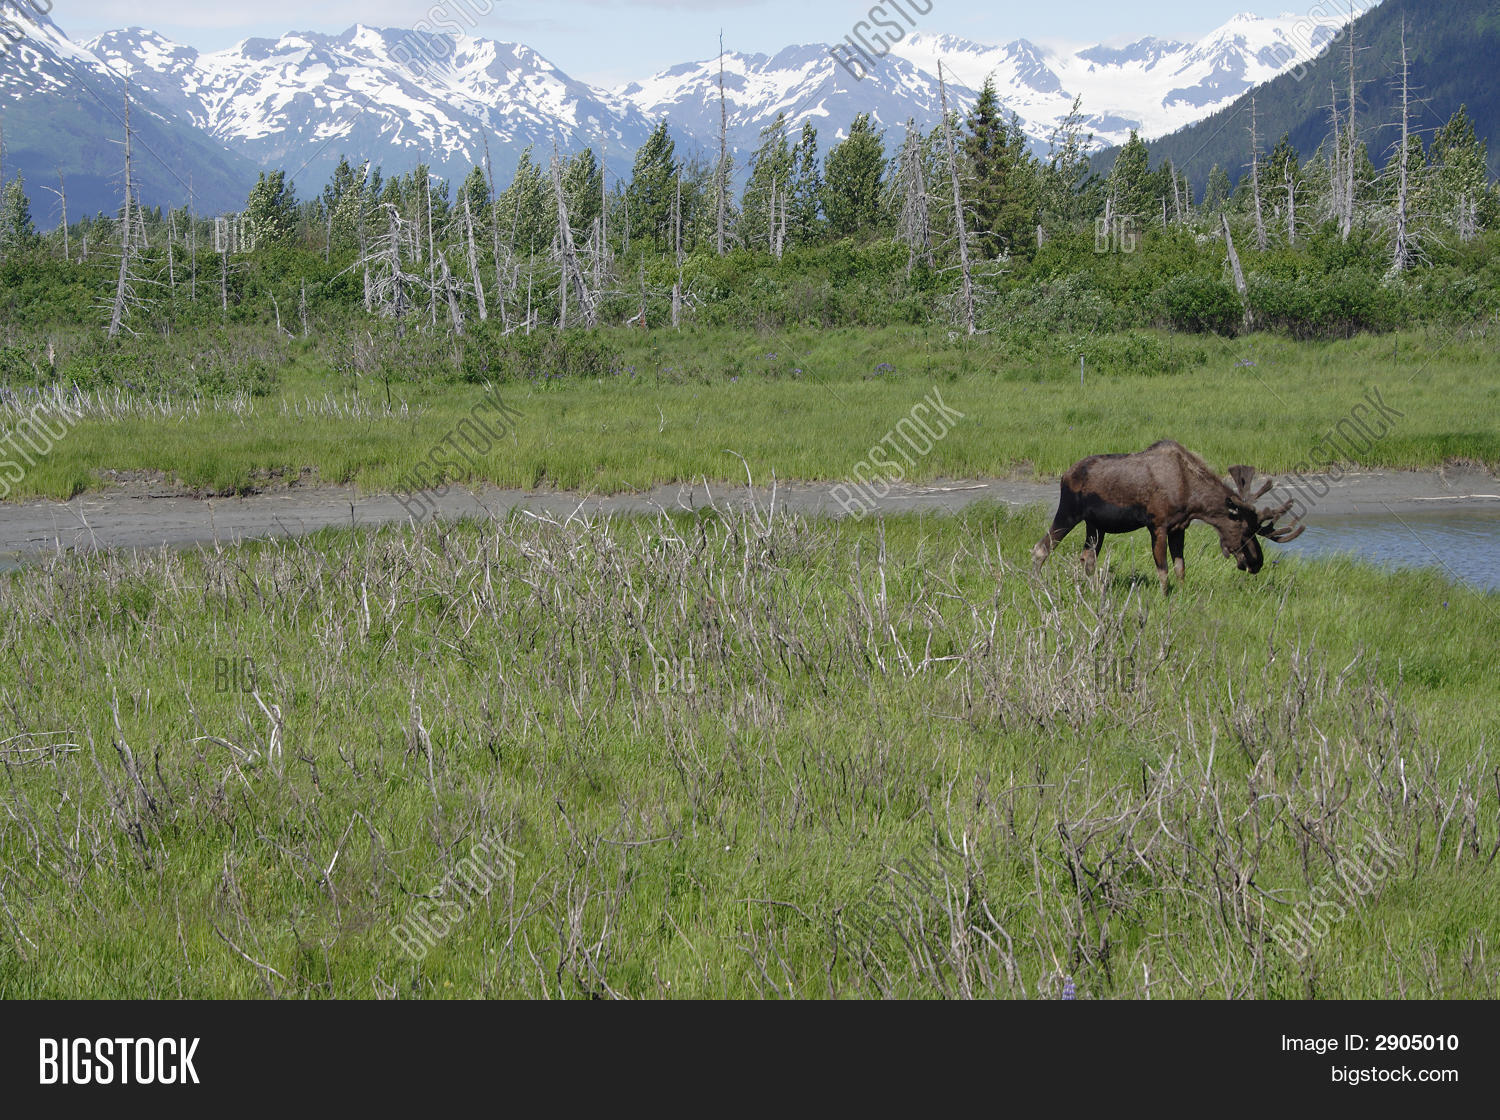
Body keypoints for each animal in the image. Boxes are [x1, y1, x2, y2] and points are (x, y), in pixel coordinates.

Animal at [1031, 440, 1306, 594]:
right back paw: (1038, 584)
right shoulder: (1158, 525)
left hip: (1095, 526)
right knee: (1041, 548)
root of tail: (1064, 476)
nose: (1256, 562)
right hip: (1069, 512)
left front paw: (1181, 594)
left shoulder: (1179, 527)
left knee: (1086, 559)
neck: (1193, 499)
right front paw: (1164, 597)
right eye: (1246, 530)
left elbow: (1180, 567)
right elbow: (1162, 569)